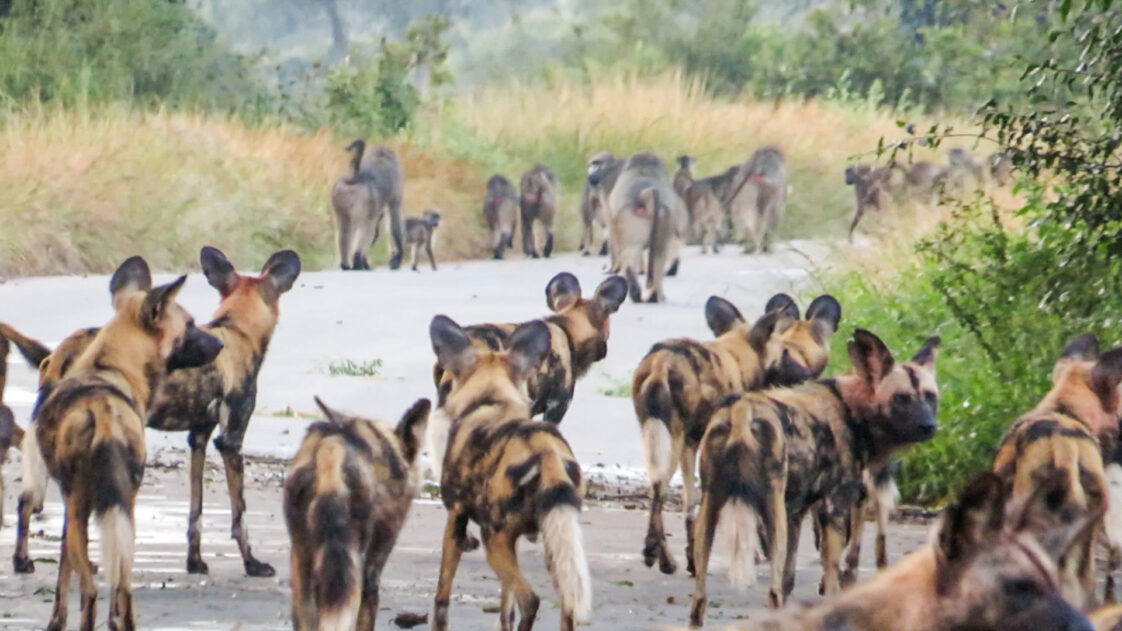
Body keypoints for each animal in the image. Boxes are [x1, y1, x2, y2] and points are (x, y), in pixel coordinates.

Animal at [330, 140, 406, 271]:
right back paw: (357, 262)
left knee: (344, 230)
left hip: (339, 199)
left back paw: (346, 265)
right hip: (363, 203)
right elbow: (394, 224)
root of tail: (354, 177)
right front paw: (398, 257)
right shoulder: (394, 193)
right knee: (366, 228)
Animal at [607, 151, 689, 303]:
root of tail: (646, 195)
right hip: (662, 218)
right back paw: (651, 295)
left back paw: (641, 293)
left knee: (632, 254)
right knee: (657, 255)